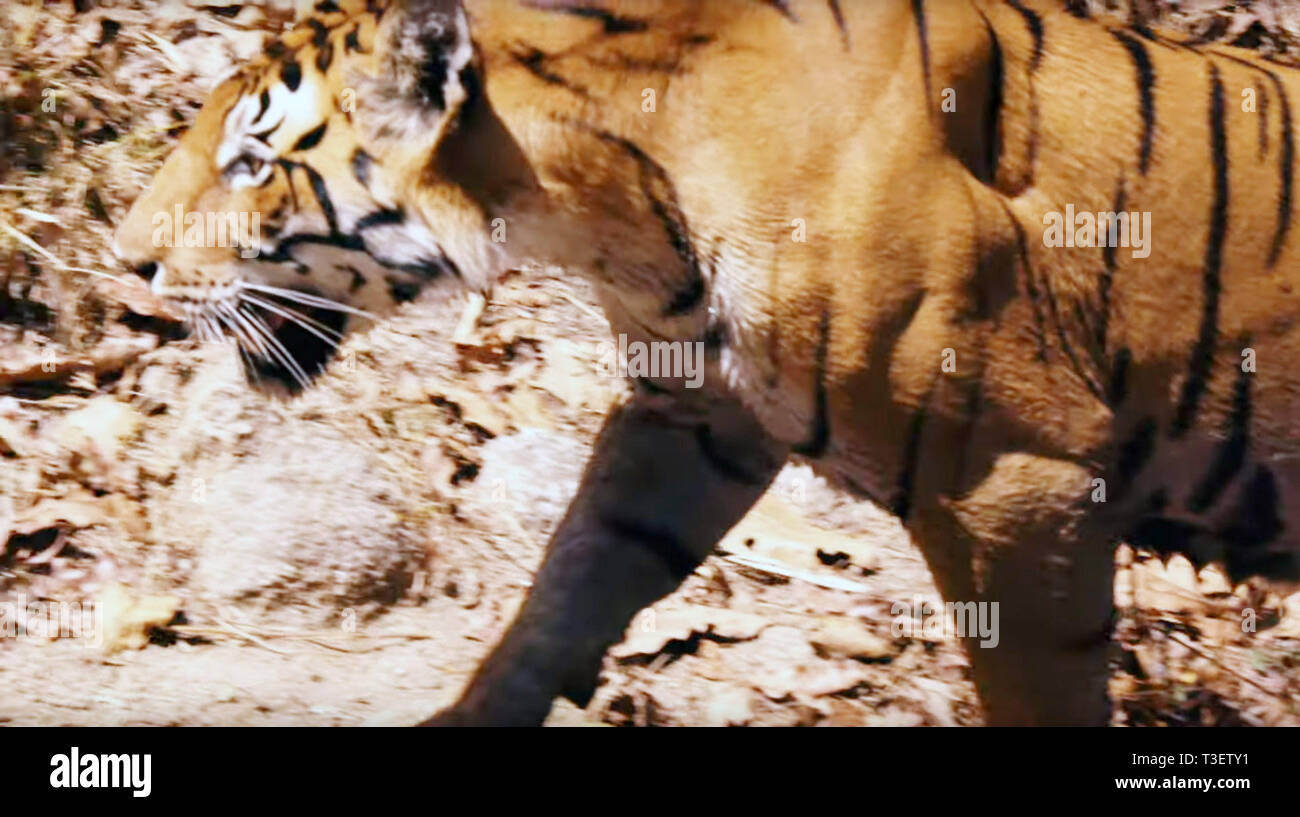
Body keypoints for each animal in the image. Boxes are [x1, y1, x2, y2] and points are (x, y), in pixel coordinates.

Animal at [111, 0, 1300, 726]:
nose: (129, 262)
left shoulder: (1017, 480)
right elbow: (564, 588)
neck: (600, 206)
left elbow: (1035, 689)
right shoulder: (689, 417)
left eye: (252, 160)